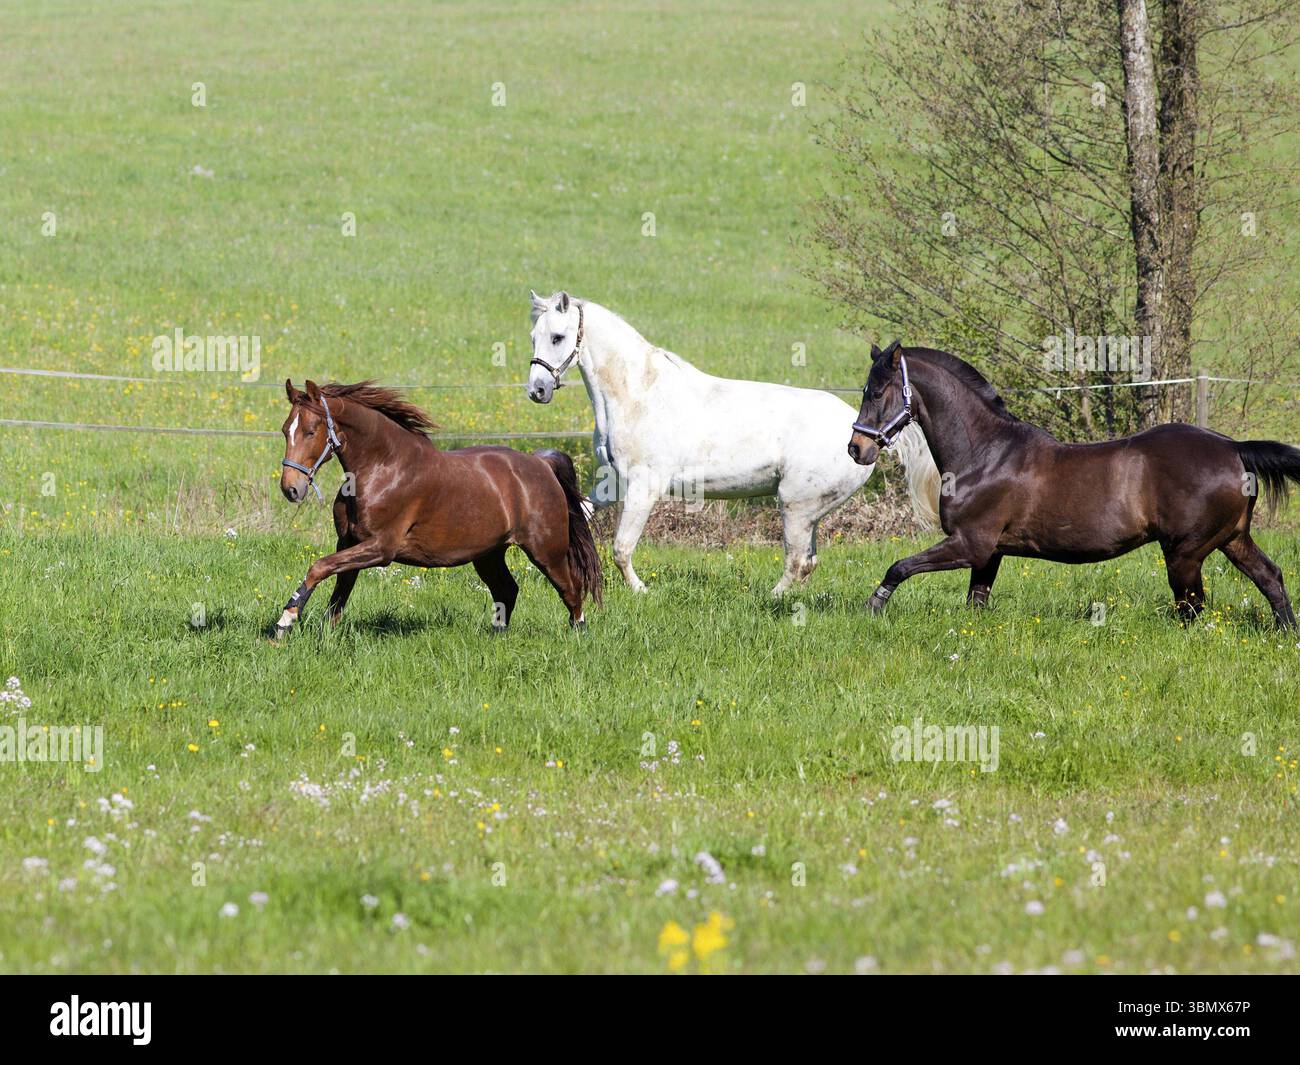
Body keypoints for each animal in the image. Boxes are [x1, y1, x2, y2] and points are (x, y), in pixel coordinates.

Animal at [273, 379, 602, 637]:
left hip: (547, 551)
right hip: (489, 554)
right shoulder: (349, 542)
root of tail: (541, 463)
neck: (382, 468)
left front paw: (284, 622)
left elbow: (318, 567)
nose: (291, 488)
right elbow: (337, 597)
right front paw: (321, 636)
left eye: (310, 431)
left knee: (572, 592)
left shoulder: (381, 548)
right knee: (507, 590)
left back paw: (580, 634)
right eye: (285, 429)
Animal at [525, 290, 941, 596]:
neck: (637, 395)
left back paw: (771, 599)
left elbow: (622, 548)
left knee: (796, 561)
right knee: (807, 562)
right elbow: (581, 510)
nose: (537, 391)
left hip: (795, 504)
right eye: (534, 337)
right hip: (810, 510)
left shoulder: (645, 487)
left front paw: (640, 591)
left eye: (558, 337)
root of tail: (863, 433)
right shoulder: (612, 482)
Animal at [846, 342, 1300, 627]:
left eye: (878, 392)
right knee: (1271, 578)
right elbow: (976, 602)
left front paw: (873, 608)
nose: (856, 448)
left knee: (1192, 608)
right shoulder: (989, 552)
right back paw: (1286, 634)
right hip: (1232, 539)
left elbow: (899, 566)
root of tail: (1233, 448)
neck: (986, 454)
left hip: (1185, 552)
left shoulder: (970, 543)